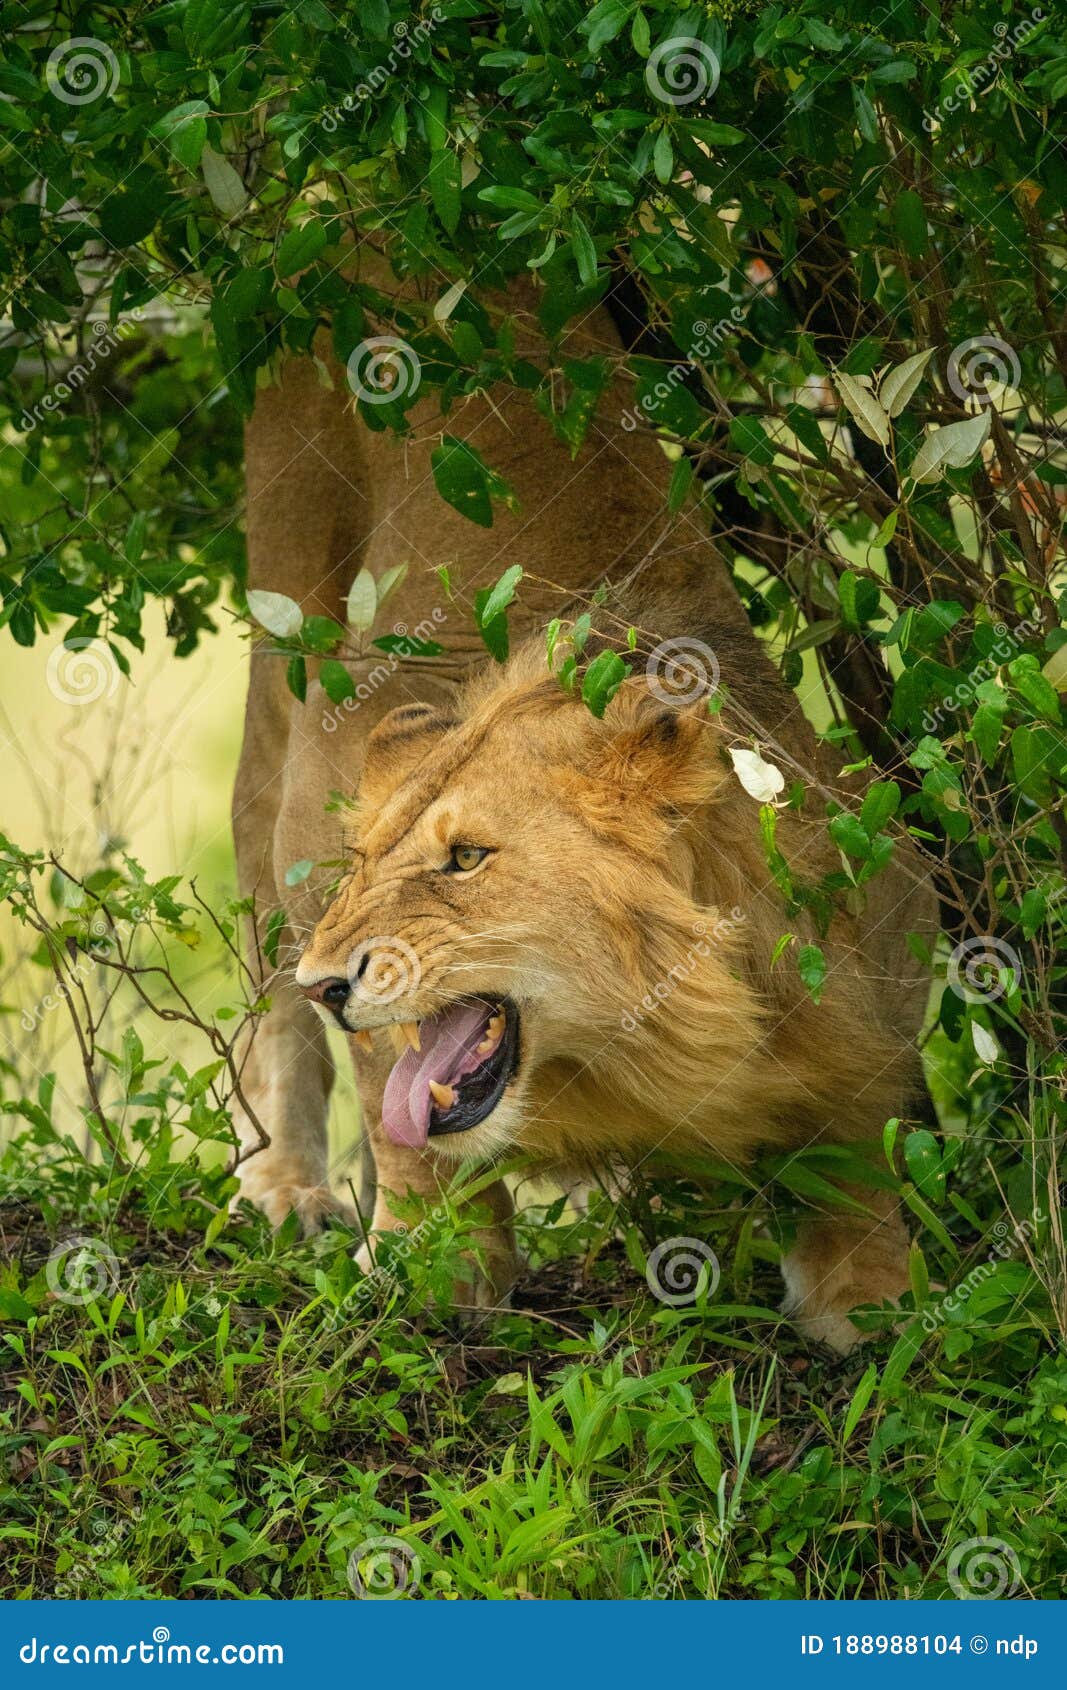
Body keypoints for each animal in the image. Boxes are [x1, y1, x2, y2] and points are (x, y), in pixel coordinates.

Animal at [231, 257, 936, 1351]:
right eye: (370, 861)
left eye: (466, 859)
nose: (329, 983)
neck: (633, 1045)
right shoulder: (324, 782)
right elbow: (401, 1116)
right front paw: (431, 1262)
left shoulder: (888, 905)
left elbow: (857, 1124)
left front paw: (871, 1294)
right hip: (286, 610)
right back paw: (286, 1185)